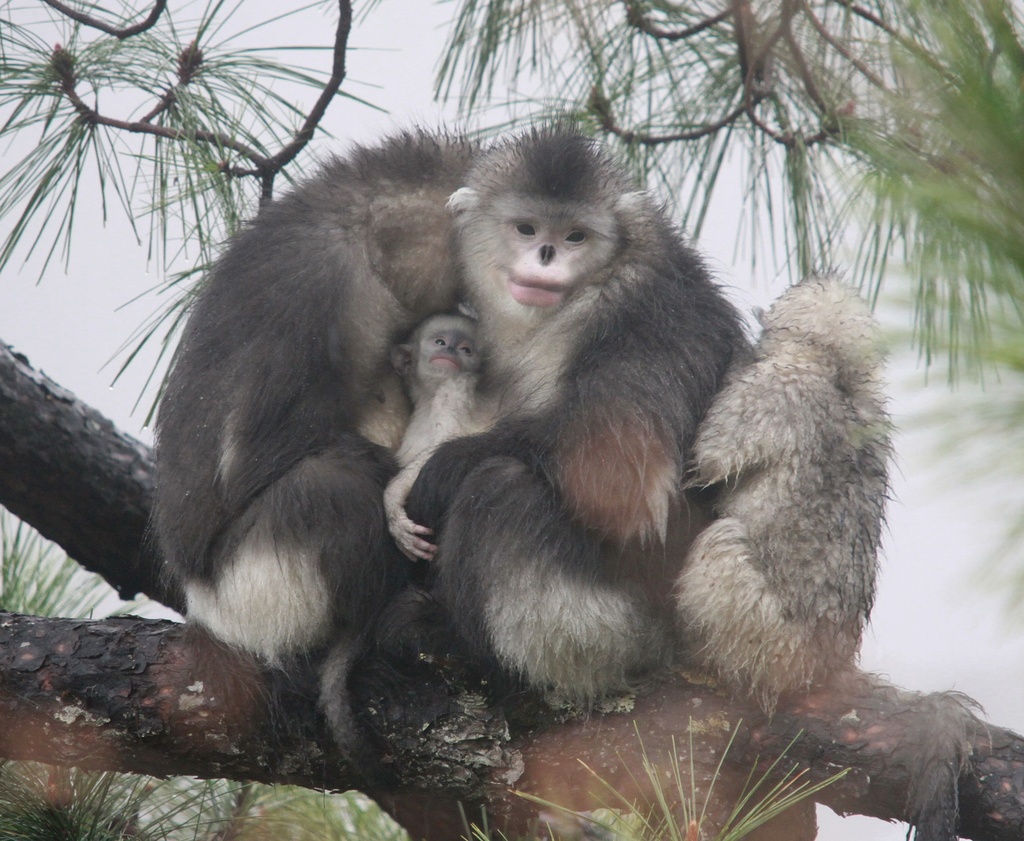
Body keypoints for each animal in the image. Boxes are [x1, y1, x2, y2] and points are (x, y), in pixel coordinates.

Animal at [384, 312, 493, 561]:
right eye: (440, 342)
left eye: (466, 350)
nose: (451, 349)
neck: (430, 397)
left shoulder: (455, 391)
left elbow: (444, 447)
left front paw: (392, 499)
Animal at [402, 128, 750, 705]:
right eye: (527, 228)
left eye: (576, 237)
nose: (545, 255)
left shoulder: (645, 311)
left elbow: (617, 478)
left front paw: (437, 471)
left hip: (616, 629)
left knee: (502, 486)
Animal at [673, 275, 892, 713]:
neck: (835, 375)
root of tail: (826, 665)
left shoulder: (776, 387)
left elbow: (708, 461)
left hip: (772, 641)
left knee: (723, 543)